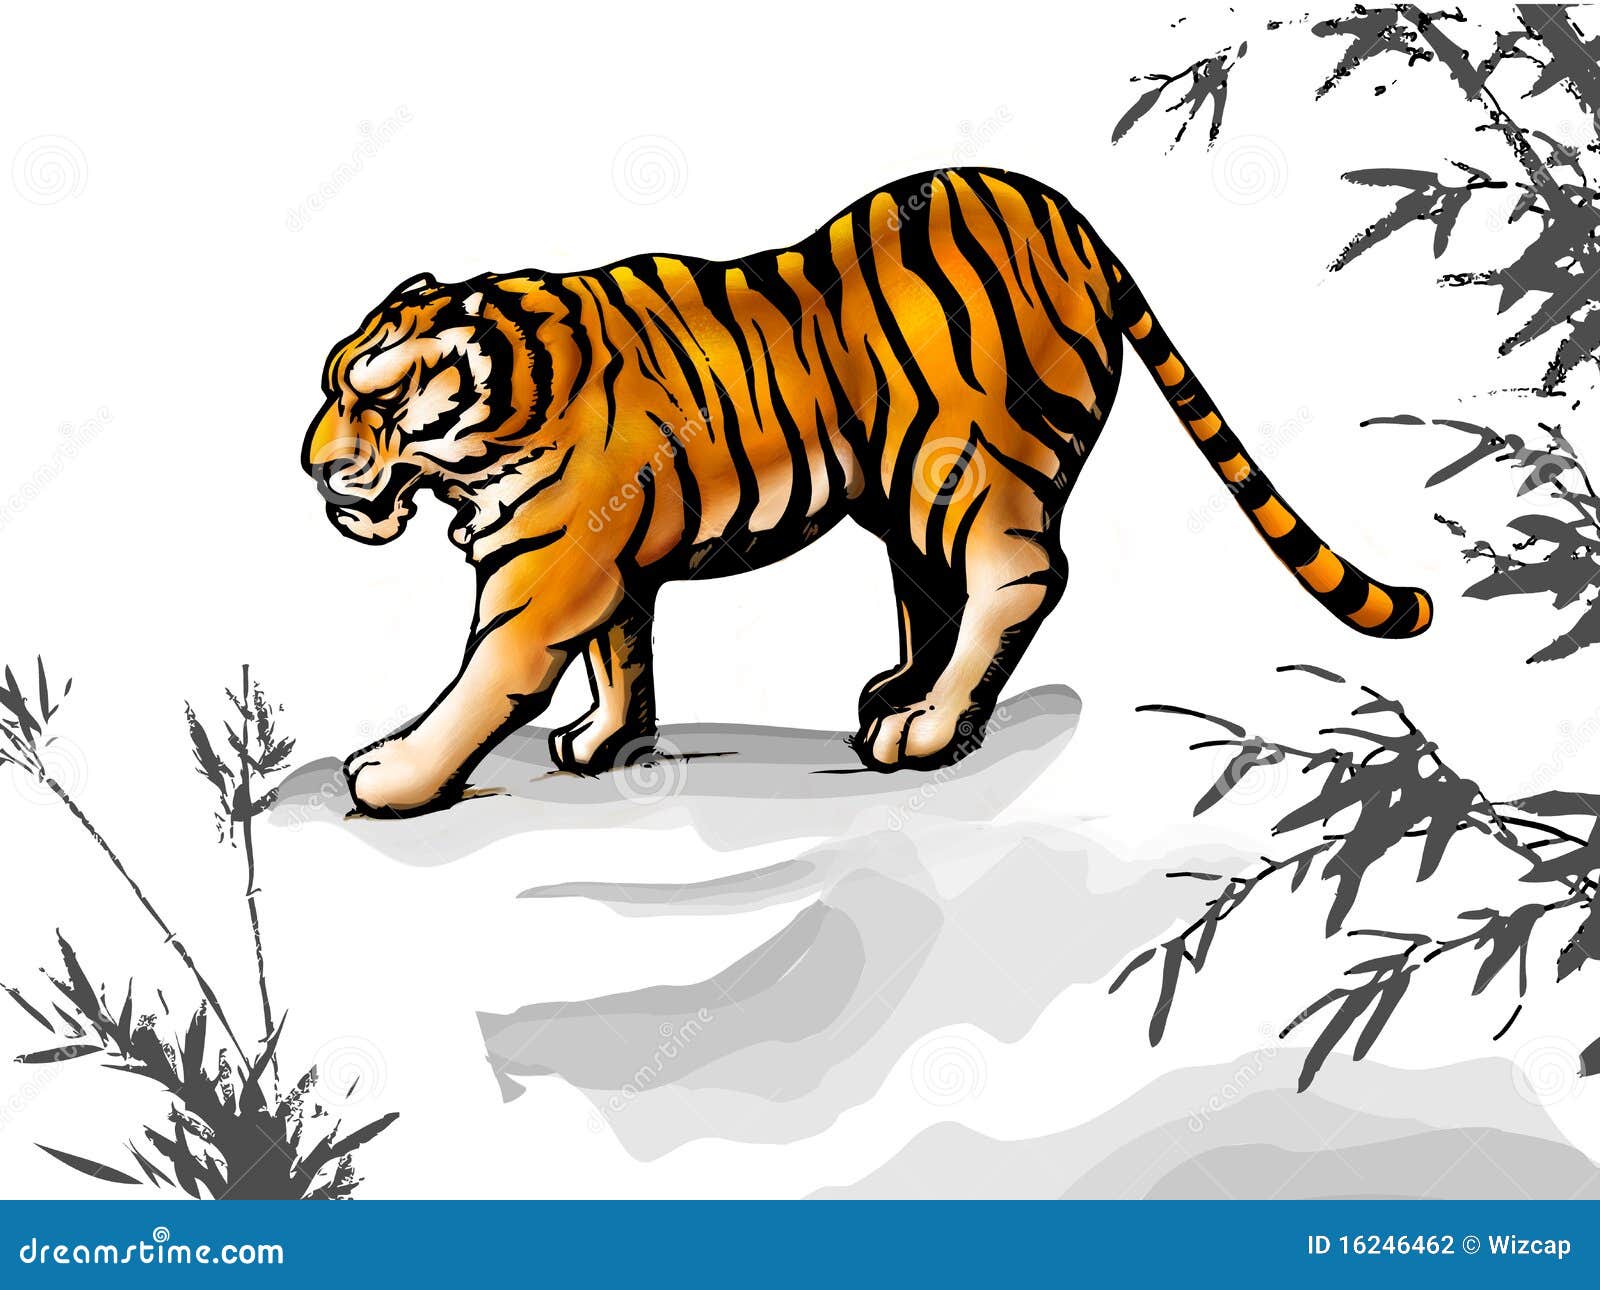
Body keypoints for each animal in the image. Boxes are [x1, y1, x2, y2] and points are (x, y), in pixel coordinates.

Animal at [303, 166, 1432, 817]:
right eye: (329, 385)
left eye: (381, 395)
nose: (313, 466)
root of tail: (1069, 215)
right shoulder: (610, 564)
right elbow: (622, 654)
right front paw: (606, 742)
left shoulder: (543, 568)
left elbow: (486, 679)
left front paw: (395, 774)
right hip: (907, 489)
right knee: (940, 587)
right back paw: (900, 693)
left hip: (967, 462)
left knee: (1021, 576)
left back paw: (924, 729)